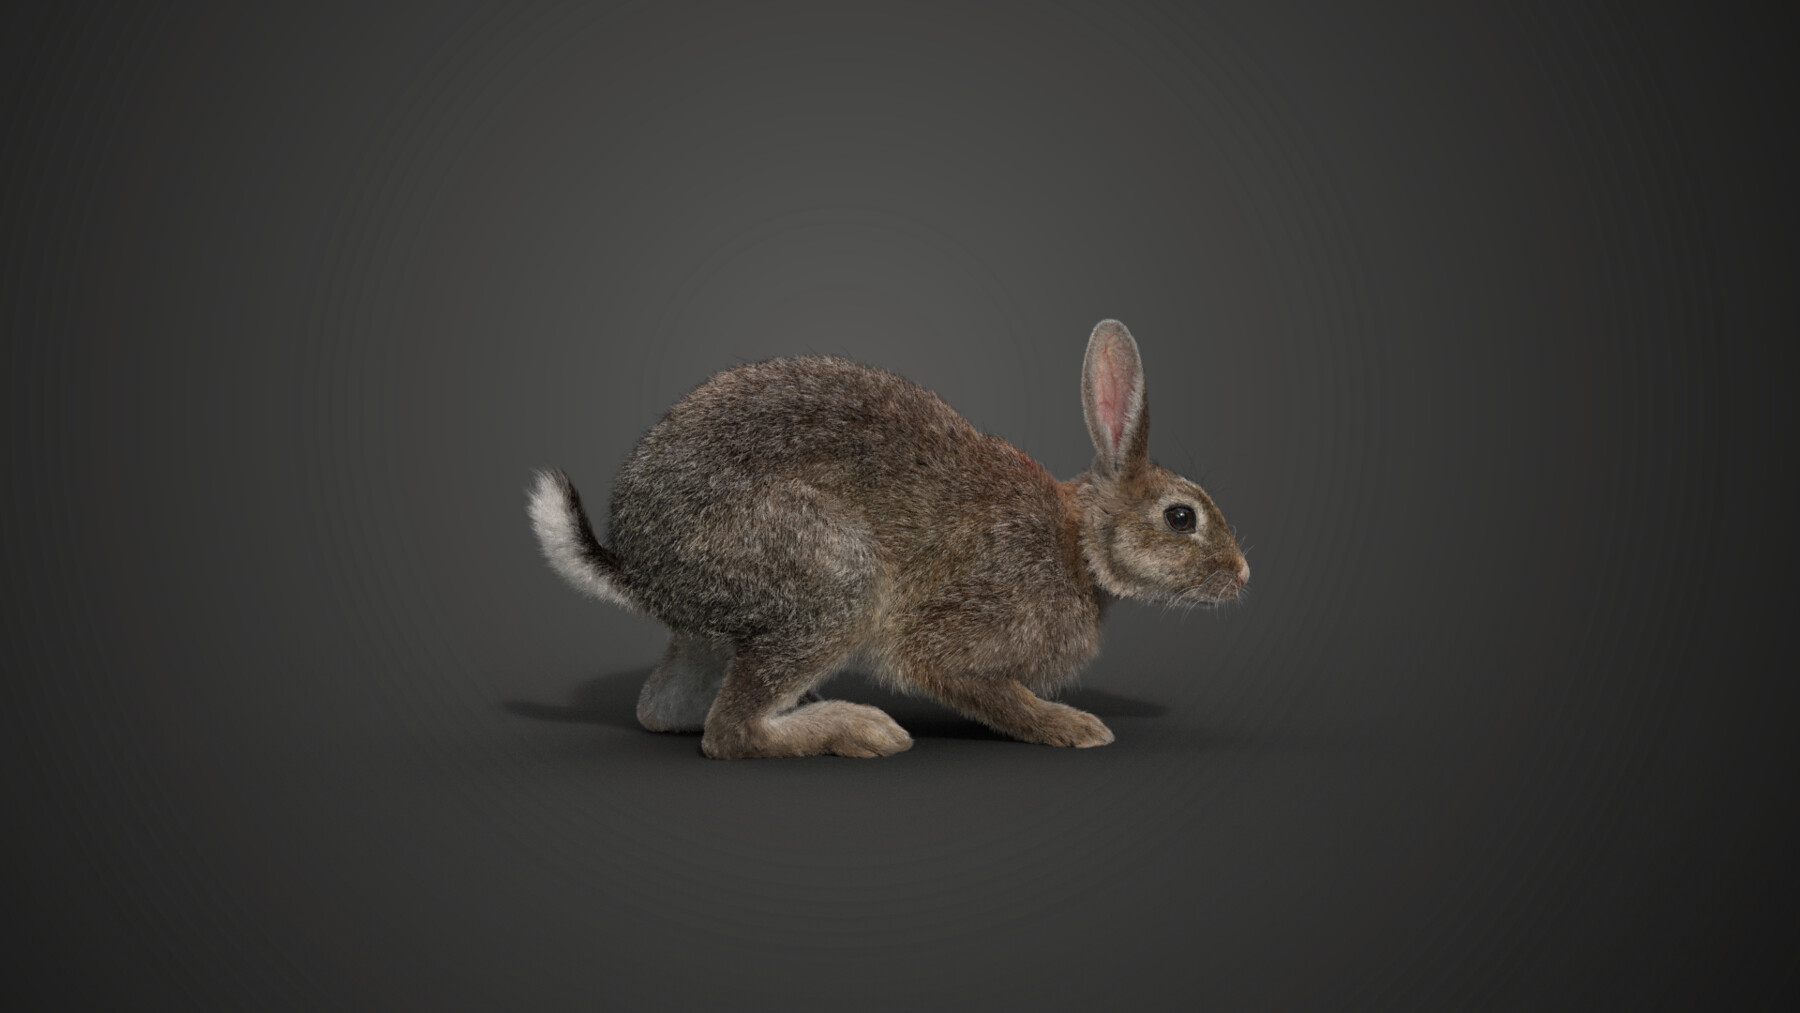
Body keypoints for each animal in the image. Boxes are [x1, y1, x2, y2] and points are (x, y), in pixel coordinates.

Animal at [528, 319, 1249, 759]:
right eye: (1181, 517)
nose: (1243, 575)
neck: (1081, 545)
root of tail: (639, 563)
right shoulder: (952, 642)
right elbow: (988, 690)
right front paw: (1073, 727)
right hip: (831, 579)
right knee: (730, 732)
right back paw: (863, 729)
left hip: (721, 623)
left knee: (664, 707)